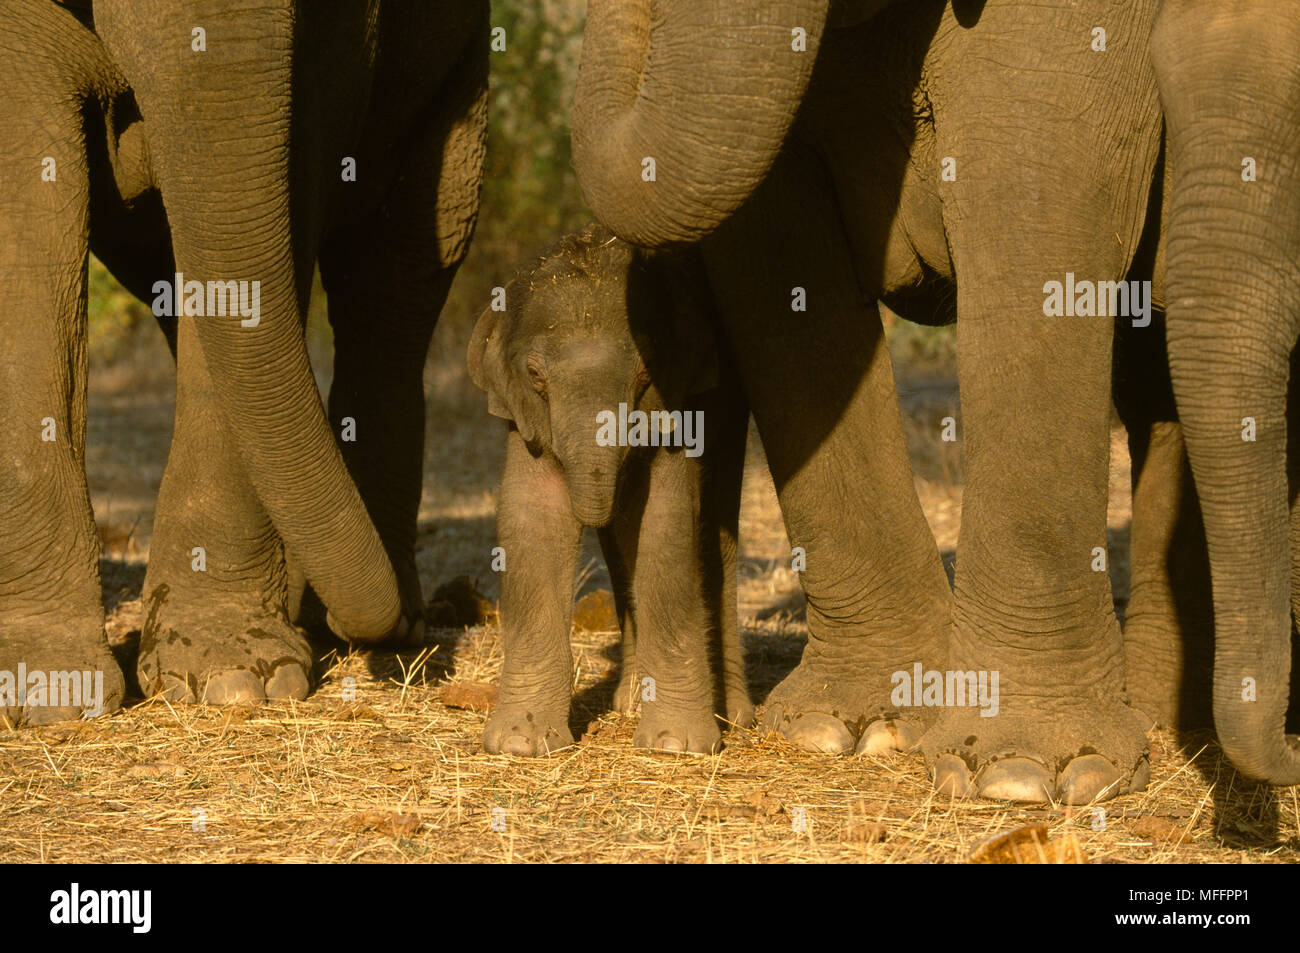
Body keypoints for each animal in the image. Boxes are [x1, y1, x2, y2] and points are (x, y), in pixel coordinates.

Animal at [0, 0, 487, 723]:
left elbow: (296, 171)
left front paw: (236, 678)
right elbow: (24, 208)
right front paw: (47, 693)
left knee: (395, 281)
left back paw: (375, 620)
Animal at [468, 224, 753, 755]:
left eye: (645, 372)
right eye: (535, 375)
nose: (596, 506)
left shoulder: (677, 404)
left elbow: (666, 522)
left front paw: (675, 745)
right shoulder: (522, 418)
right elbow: (533, 519)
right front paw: (520, 743)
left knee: (713, 533)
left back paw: (734, 716)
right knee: (622, 555)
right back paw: (631, 702)